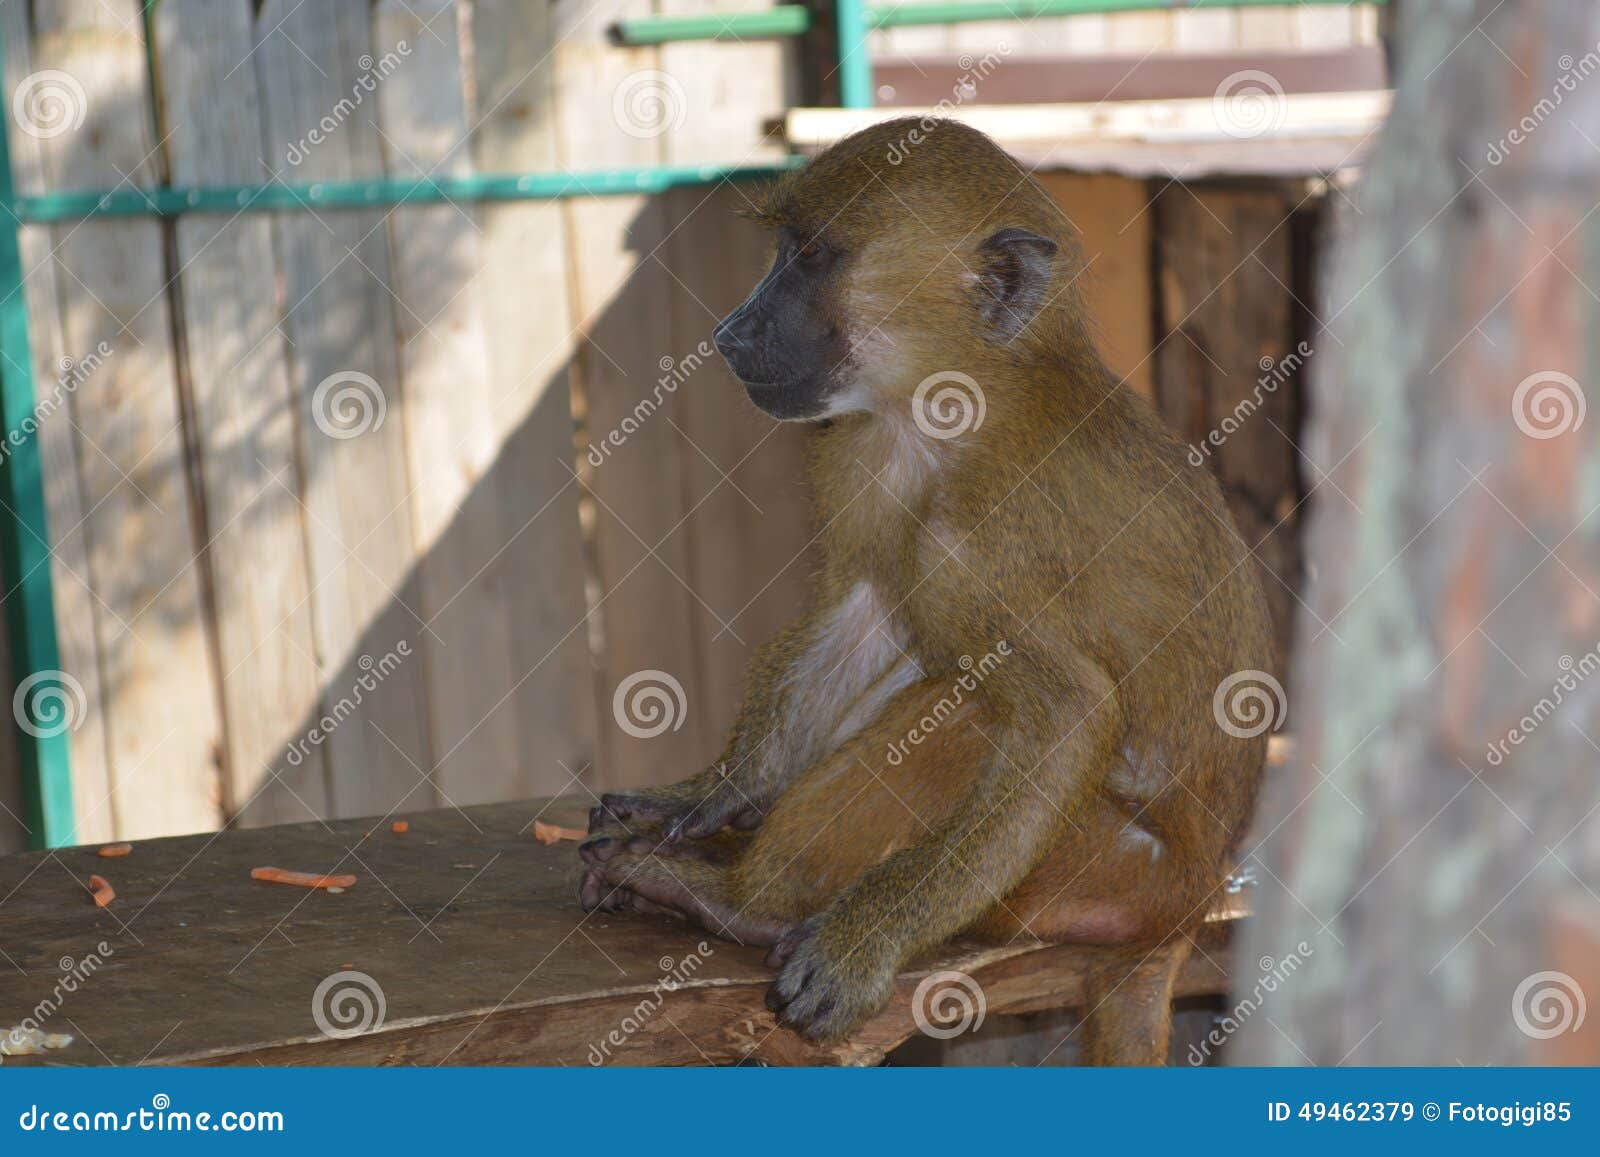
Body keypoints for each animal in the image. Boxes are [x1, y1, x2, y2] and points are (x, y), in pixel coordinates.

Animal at [578, 116, 1274, 1064]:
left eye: (812, 257)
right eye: (786, 251)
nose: (729, 331)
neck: (954, 404)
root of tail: (1189, 906)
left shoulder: (982, 539)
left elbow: (1070, 712)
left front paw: (862, 938)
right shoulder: (862, 454)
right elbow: (862, 617)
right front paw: (705, 793)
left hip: (1102, 874)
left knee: (971, 708)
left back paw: (743, 903)